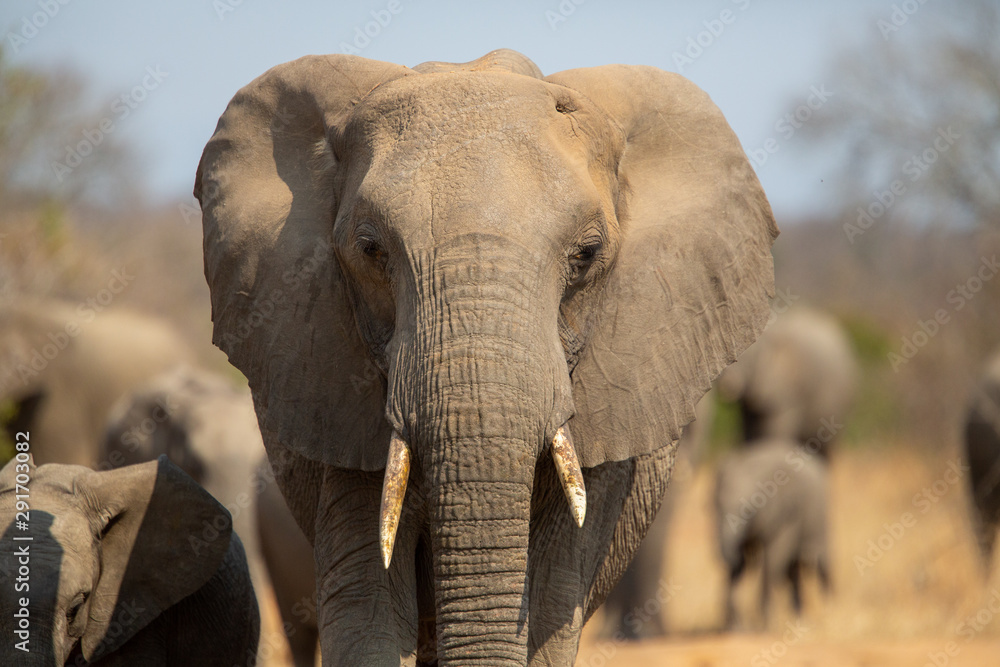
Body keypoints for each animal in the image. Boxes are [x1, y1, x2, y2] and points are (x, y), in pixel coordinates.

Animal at [714, 437, 830, 630]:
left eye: (749, 511)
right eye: (713, 507)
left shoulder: (789, 513)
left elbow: (773, 559)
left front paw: (765, 626)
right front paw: (736, 627)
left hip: (821, 516)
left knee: (810, 562)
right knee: (795, 569)